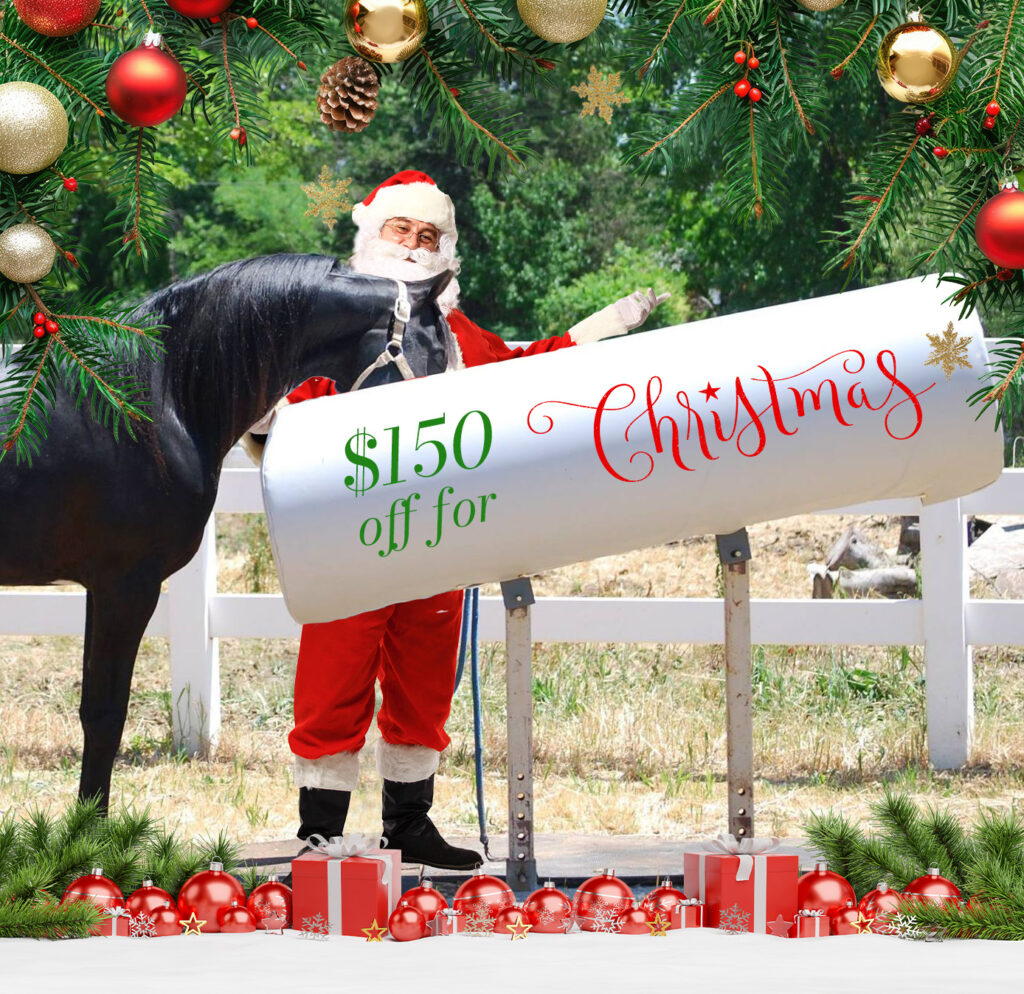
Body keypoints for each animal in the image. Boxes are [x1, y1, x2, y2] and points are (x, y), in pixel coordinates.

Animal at [0, 253, 454, 810]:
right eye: (436, 354)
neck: (156, 397)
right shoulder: (125, 586)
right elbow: (104, 715)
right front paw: (90, 829)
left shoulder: (102, 588)